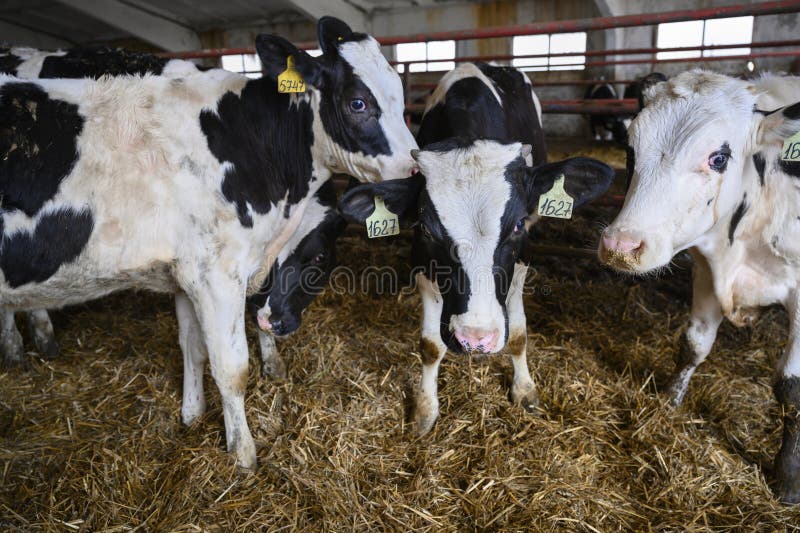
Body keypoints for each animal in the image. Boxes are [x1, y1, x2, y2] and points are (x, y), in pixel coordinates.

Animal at [0, 16, 418, 468]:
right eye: (358, 103)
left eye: (399, 95)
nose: (416, 171)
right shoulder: (217, 274)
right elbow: (231, 367)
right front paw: (243, 454)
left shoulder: (187, 272)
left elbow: (193, 348)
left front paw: (192, 415)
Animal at [339, 138, 613, 434]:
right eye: (426, 229)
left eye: (518, 224)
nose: (475, 340)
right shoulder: (422, 267)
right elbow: (430, 345)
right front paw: (424, 409)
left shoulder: (522, 263)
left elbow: (518, 335)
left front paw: (524, 390)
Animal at [597, 69, 800, 502]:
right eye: (631, 149)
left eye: (718, 158)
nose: (621, 245)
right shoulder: (707, 270)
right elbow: (692, 345)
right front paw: (669, 403)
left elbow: (790, 386)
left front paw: (789, 477)